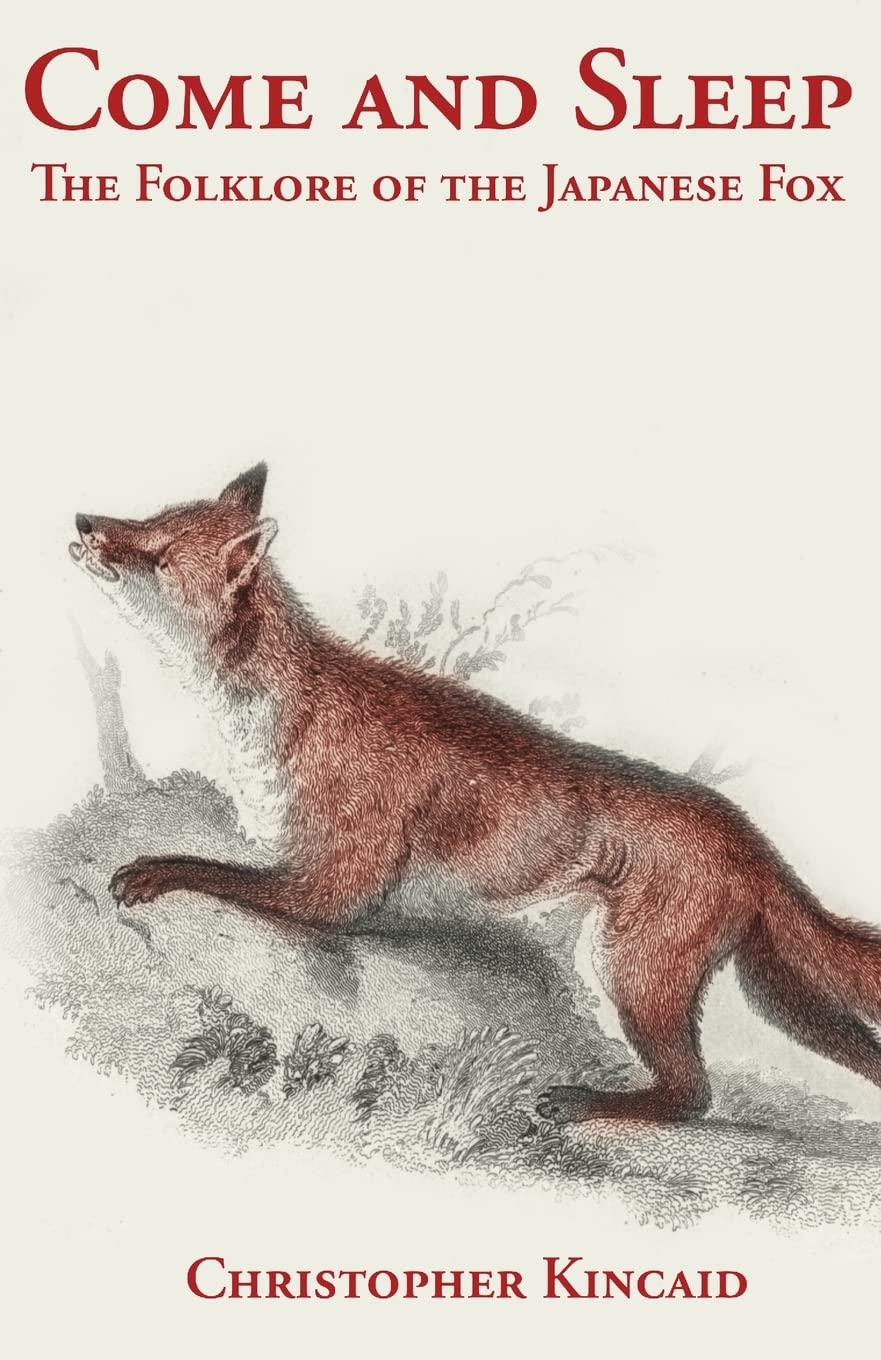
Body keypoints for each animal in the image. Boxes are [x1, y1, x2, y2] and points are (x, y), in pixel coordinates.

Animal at [68, 463, 881, 1125]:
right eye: (147, 516)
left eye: (157, 554)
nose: (83, 523)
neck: (270, 722)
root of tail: (753, 839)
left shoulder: (332, 883)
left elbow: (214, 869)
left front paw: (149, 870)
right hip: (776, 994)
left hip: (634, 969)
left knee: (691, 1095)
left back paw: (582, 1102)